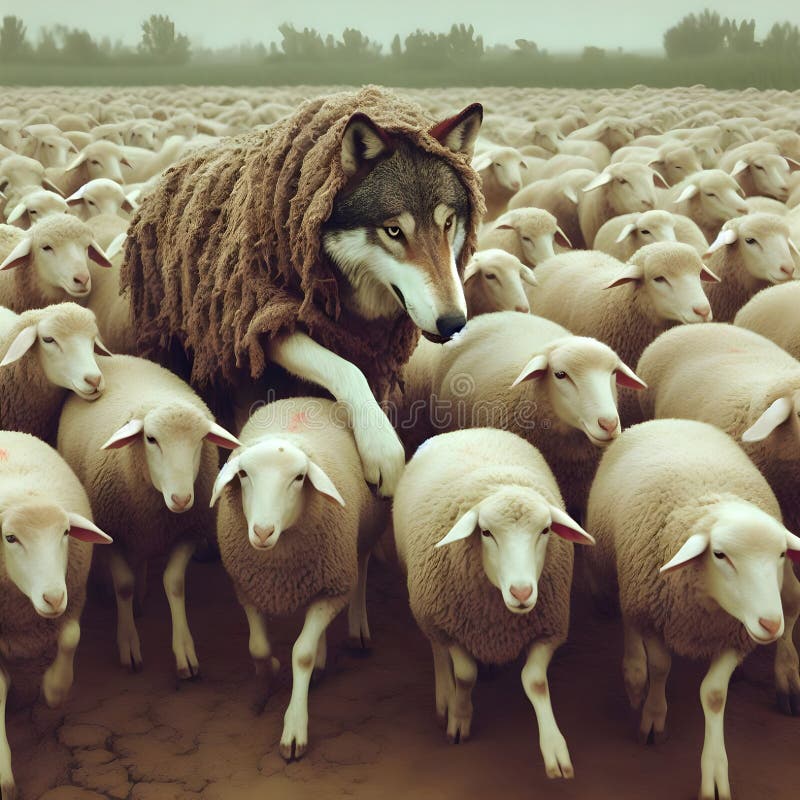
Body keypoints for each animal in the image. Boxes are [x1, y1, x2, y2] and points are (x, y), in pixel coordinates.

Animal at [0, 430, 112, 799]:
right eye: (10, 538)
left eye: (65, 533)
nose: (52, 596)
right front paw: (4, 776)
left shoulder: (74, 597)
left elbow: (70, 638)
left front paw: (54, 690)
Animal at [56, 354, 241, 679]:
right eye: (151, 439)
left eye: (200, 441)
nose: (182, 499)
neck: (155, 510)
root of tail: (116, 357)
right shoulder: (112, 530)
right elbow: (124, 585)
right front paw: (128, 643)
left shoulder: (187, 531)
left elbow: (174, 583)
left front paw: (184, 652)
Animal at [212, 397, 388, 761]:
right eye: (244, 474)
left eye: (299, 478)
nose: (262, 531)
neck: (279, 567)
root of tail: (308, 398)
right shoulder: (247, 587)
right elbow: (258, 646)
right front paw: (267, 675)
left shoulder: (333, 586)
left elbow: (301, 654)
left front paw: (294, 729)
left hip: (363, 534)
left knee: (362, 569)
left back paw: (357, 628)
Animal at [393, 427, 594, 775]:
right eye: (486, 533)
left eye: (545, 530)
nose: (522, 592)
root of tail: (467, 430)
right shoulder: (450, 624)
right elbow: (464, 674)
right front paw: (459, 717)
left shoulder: (549, 628)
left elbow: (535, 682)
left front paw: (554, 748)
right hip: (426, 609)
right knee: (436, 647)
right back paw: (444, 696)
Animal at [585, 418, 800, 799]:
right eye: (720, 554)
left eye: (779, 554)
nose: (769, 624)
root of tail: (665, 420)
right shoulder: (652, 611)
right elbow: (660, 666)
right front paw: (653, 717)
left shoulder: (735, 634)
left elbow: (713, 694)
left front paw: (714, 773)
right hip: (625, 576)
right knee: (628, 619)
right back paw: (633, 674)